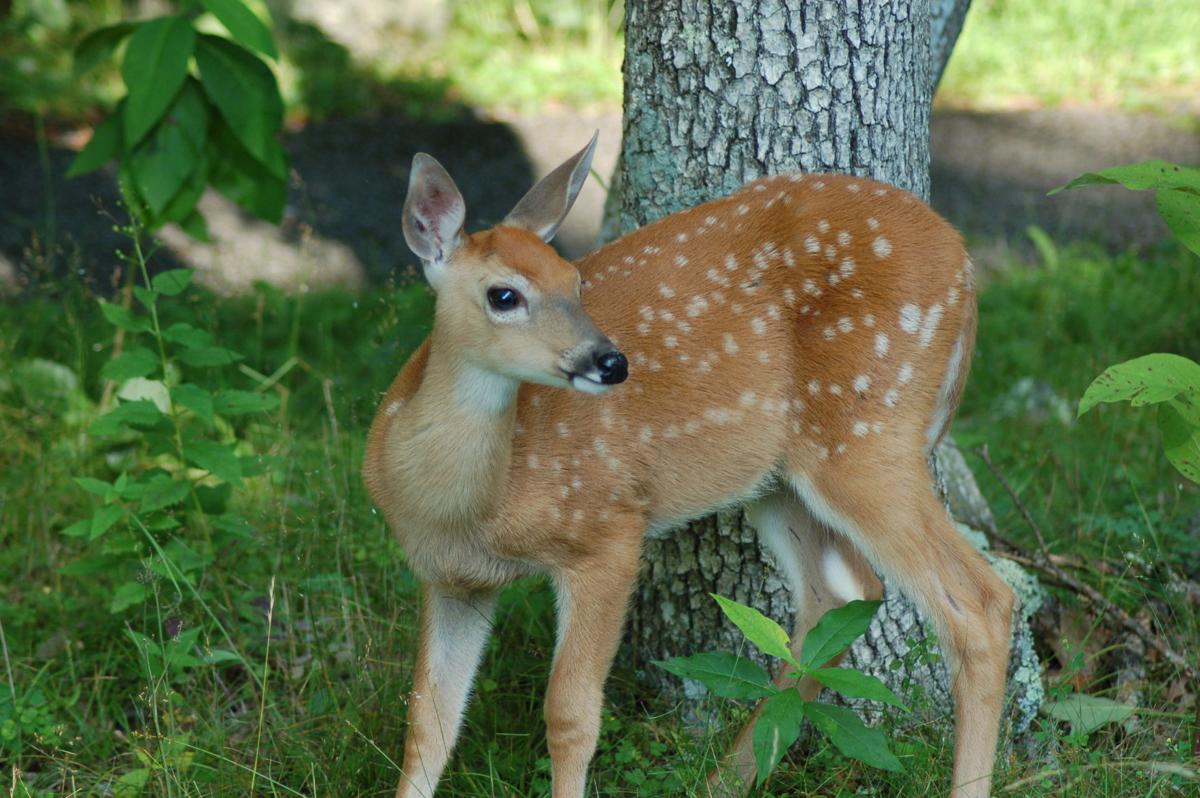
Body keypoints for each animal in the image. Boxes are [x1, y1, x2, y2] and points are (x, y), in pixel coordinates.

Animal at [362, 132, 1014, 798]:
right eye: (503, 295)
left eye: (576, 282)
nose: (611, 361)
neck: (461, 508)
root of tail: (963, 260)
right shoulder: (452, 580)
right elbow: (428, 721)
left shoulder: (608, 527)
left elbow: (570, 715)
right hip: (778, 476)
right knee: (842, 591)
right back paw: (724, 780)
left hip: (864, 437)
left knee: (981, 603)